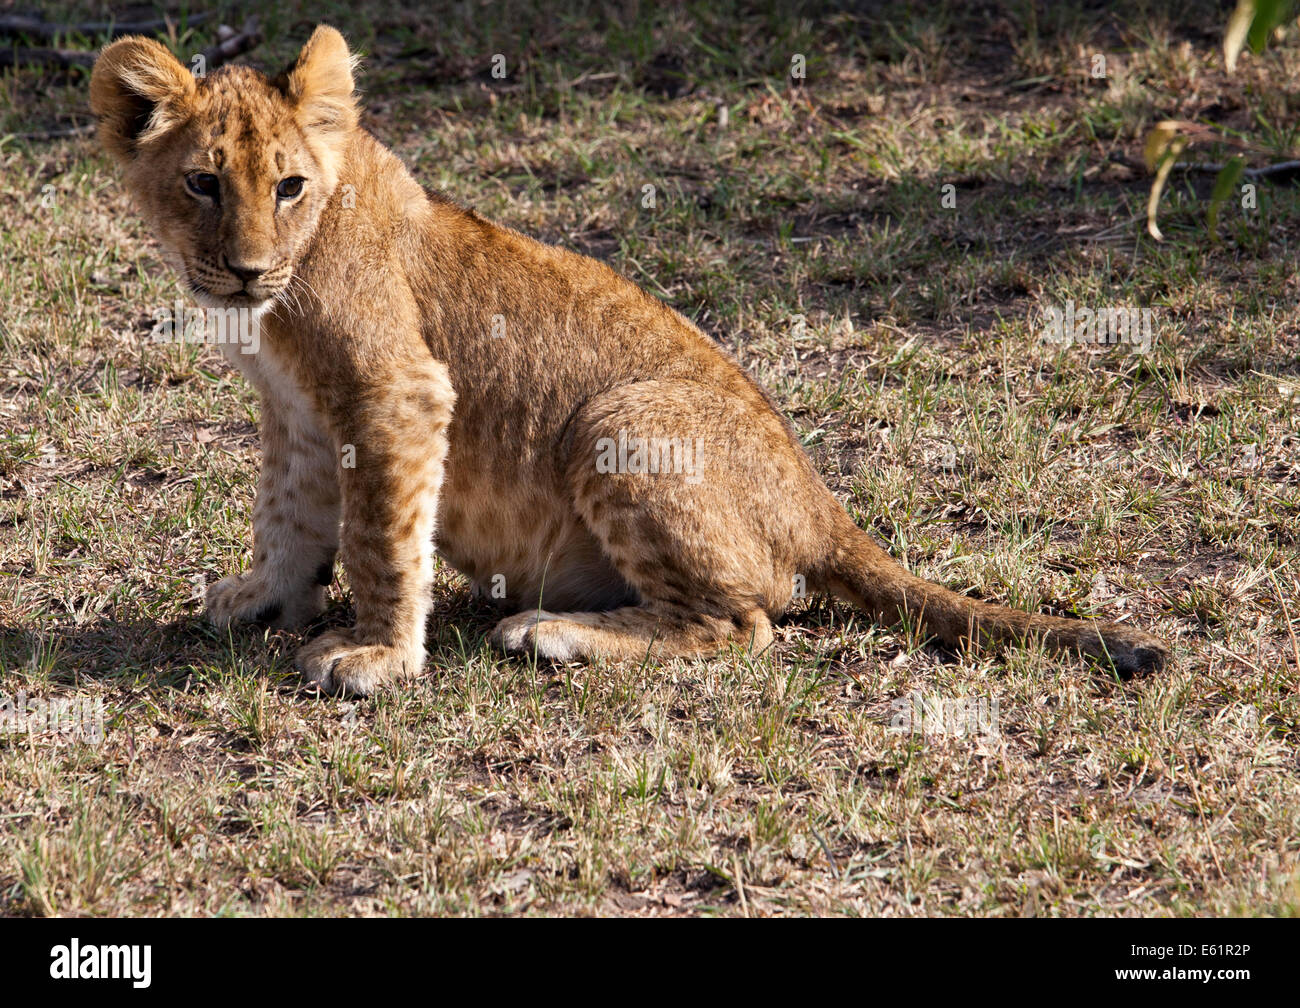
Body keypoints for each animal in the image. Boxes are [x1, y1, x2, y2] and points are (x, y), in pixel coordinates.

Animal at [89, 26, 1168, 696]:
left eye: (288, 186)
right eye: (202, 184)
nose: (244, 269)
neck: (279, 301)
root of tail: (823, 508)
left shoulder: (395, 390)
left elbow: (379, 537)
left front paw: (377, 656)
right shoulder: (300, 413)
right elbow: (289, 514)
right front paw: (265, 597)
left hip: (618, 421)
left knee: (746, 624)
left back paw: (552, 634)